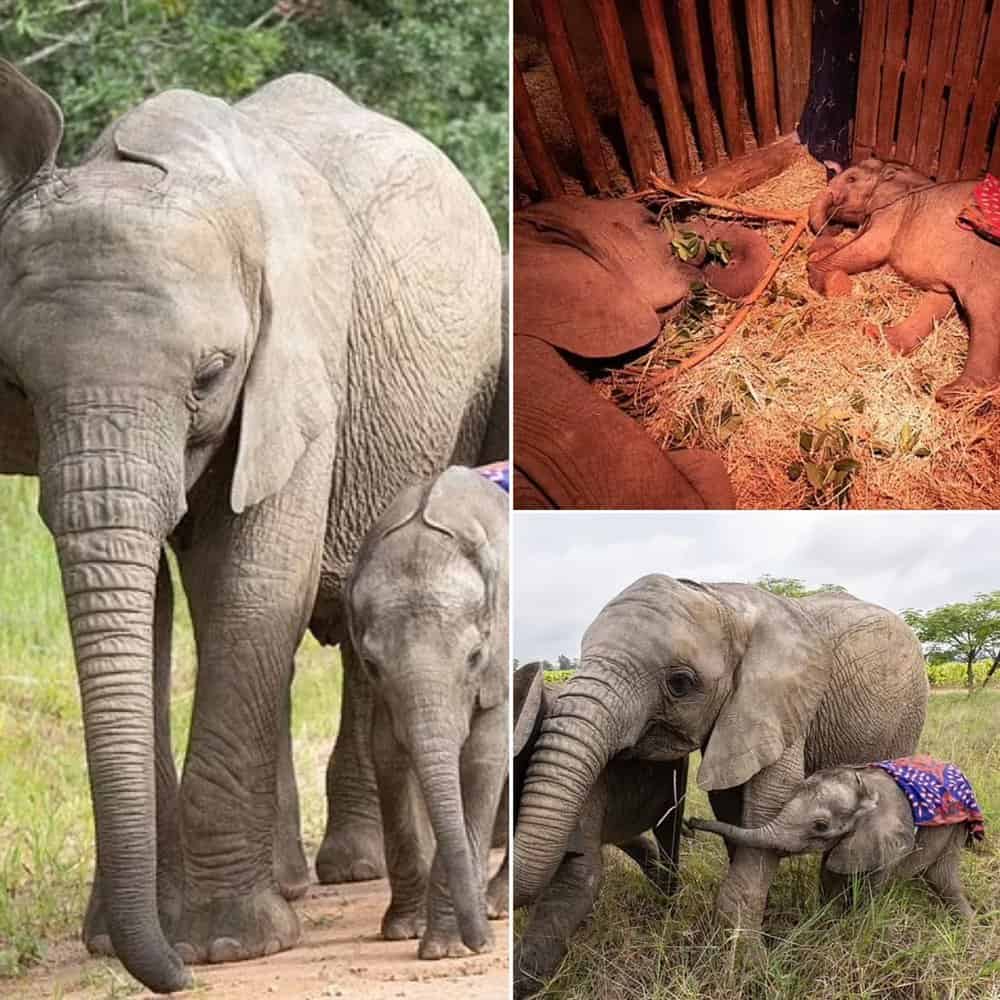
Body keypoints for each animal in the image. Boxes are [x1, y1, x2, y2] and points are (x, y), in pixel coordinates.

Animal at [345, 466, 508, 959]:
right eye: (372, 665)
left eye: (474, 657)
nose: (483, 946)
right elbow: (387, 756)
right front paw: (403, 931)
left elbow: (483, 758)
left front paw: (445, 948)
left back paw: (494, 906)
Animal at [514, 576, 930, 942]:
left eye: (680, 683)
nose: (692, 825)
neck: (722, 597)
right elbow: (731, 802)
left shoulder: (781, 704)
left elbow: (770, 800)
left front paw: (743, 957)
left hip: (907, 715)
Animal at [689, 760, 978, 919]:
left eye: (821, 825)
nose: (690, 823)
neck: (866, 791)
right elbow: (831, 878)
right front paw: (827, 922)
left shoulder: (886, 842)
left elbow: (869, 891)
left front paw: (854, 926)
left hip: (957, 826)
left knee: (943, 875)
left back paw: (966, 926)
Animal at [805, 157, 1000, 403]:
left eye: (852, 179)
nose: (836, 225)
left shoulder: (894, 211)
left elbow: (870, 249)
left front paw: (821, 275)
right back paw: (875, 335)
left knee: (986, 321)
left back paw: (950, 397)